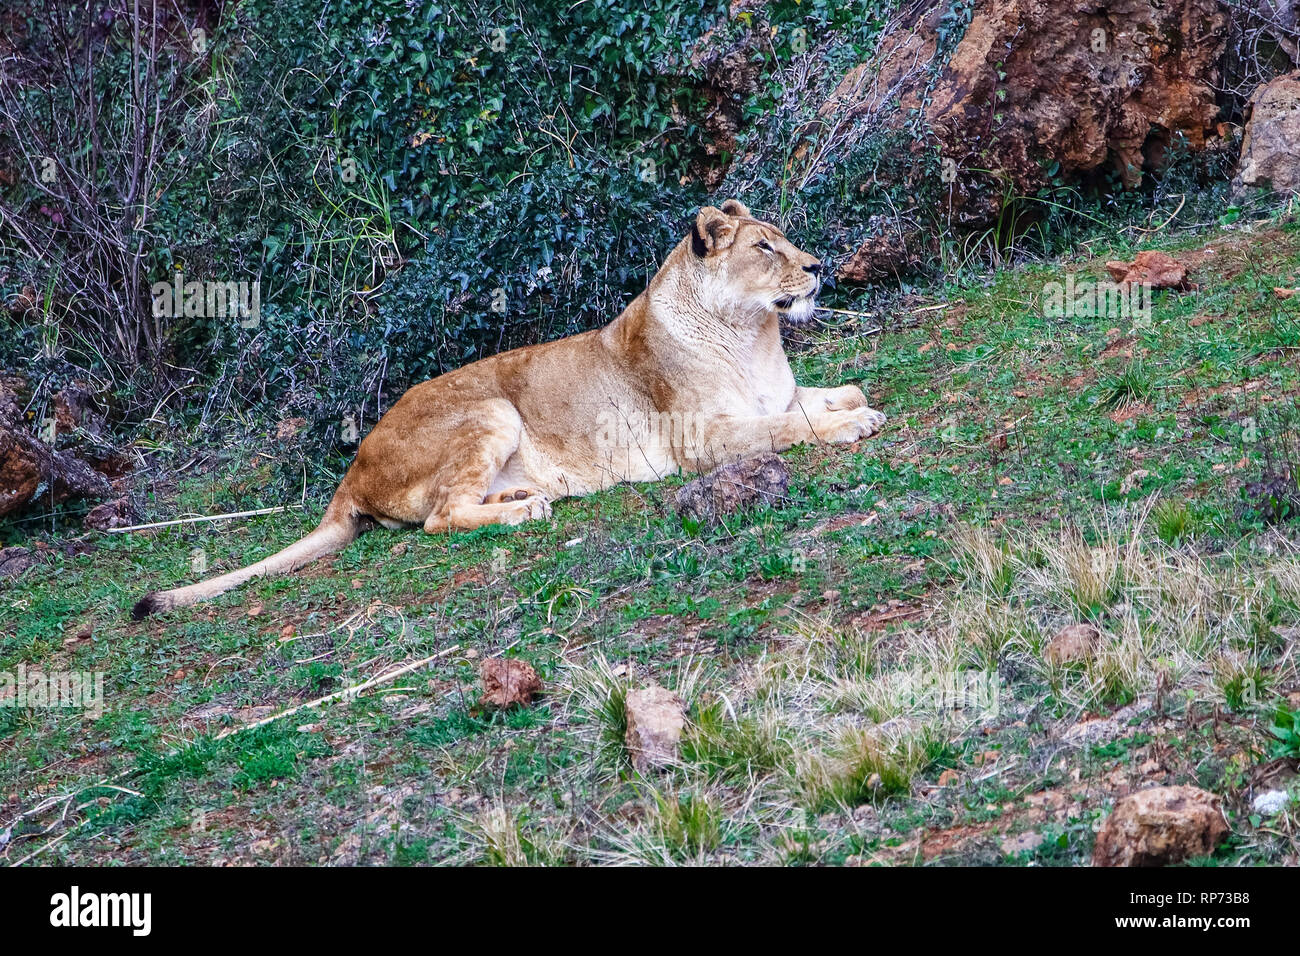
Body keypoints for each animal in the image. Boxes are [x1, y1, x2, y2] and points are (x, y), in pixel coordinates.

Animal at [132, 200, 886, 618]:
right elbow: (789, 425)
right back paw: (524, 510)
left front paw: (854, 404)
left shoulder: (772, 393)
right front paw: (852, 424)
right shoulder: (699, 439)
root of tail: (350, 471)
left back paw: (522, 493)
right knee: (440, 518)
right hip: (489, 409)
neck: (752, 335)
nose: (819, 268)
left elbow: (821, 396)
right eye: (764, 247)